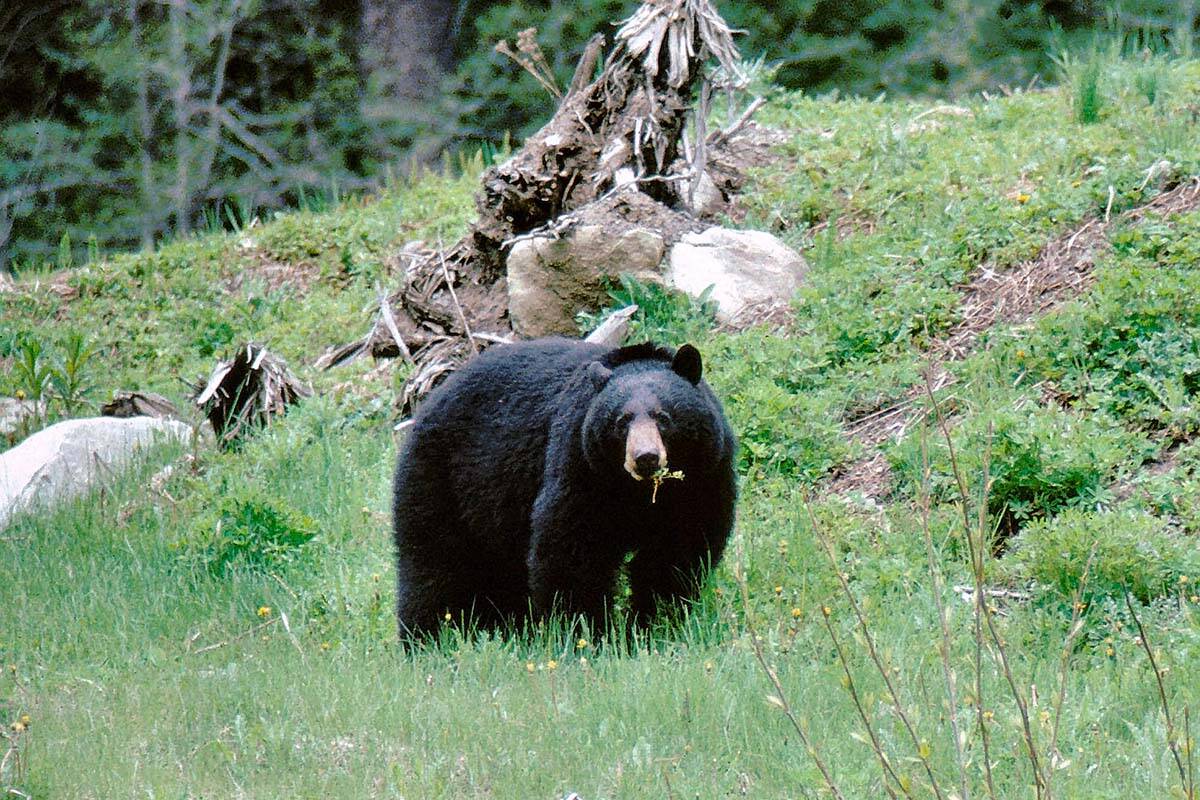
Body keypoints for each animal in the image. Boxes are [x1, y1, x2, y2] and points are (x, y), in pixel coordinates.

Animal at [391, 337, 736, 640]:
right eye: (621, 421)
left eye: (663, 417)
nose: (645, 458)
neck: (638, 492)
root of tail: (427, 403)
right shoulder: (580, 462)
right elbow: (572, 547)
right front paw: (586, 630)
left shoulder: (706, 475)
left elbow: (678, 549)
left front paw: (656, 622)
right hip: (441, 478)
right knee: (433, 563)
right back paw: (428, 638)